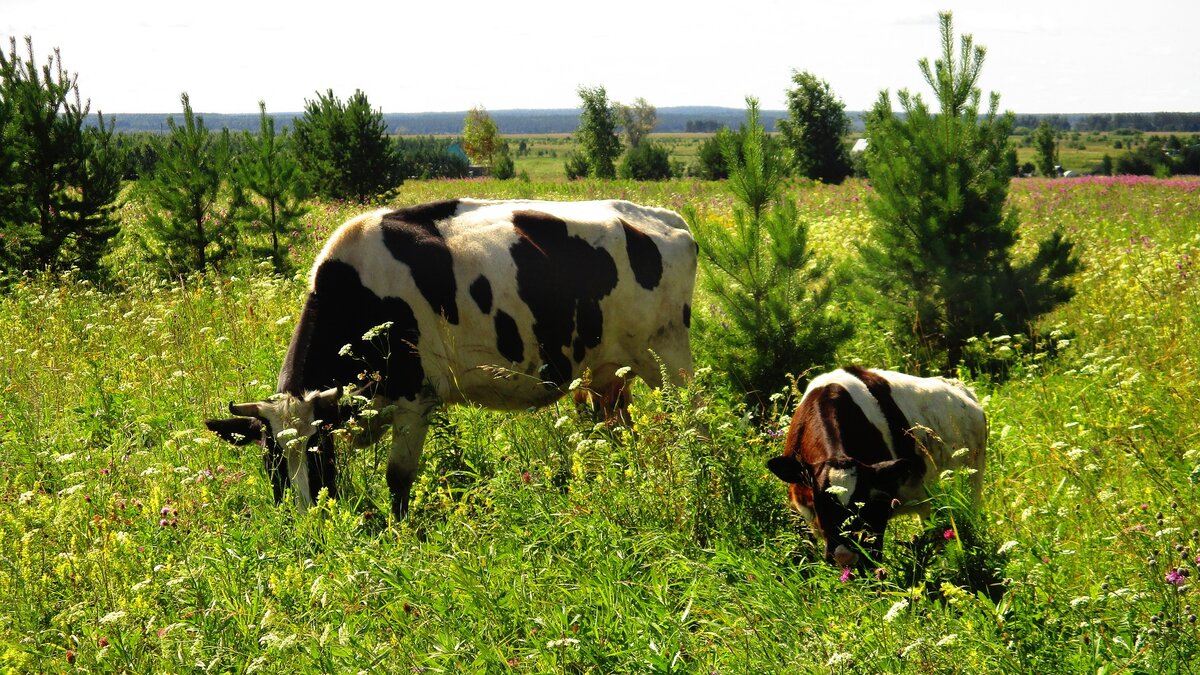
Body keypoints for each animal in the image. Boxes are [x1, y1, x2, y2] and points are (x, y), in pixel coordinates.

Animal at [202, 196, 700, 516]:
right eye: (270, 460)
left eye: (318, 449)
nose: (306, 516)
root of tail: (666, 218)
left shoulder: (415, 398)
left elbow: (398, 479)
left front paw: (400, 535)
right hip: (608, 371)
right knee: (618, 429)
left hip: (670, 355)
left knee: (694, 421)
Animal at [768, 365, 984, 564]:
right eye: (821, 502)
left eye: (863, 502)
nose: (844, 556)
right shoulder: (798, 509)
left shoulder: (878, 511)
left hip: (973, 479)